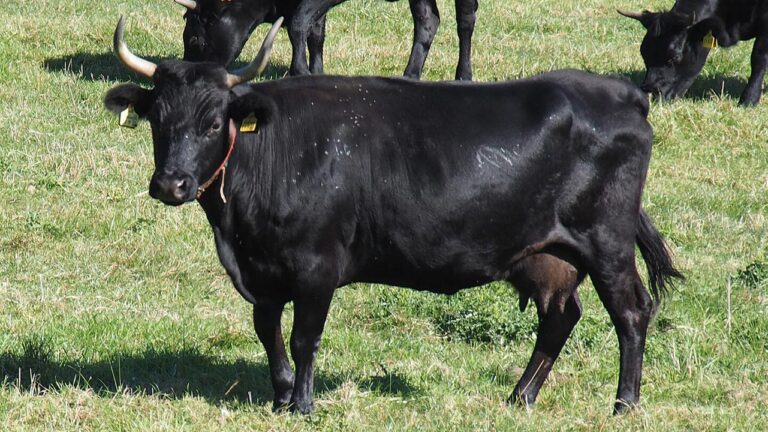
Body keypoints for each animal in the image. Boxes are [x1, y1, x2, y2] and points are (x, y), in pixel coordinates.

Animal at [104, 16, 683, 415]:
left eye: (212, 122)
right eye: (157, 118)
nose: (170, 184)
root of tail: (621, 92)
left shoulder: (317, 267)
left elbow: (304, 336)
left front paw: (303, 405)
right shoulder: (262, 274)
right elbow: (268, 333)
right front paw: (281, 396)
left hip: (607, 241)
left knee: (632, 312)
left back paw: (624, 405)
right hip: (547, 254)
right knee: (560, 316)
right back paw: (521, 396)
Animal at [173, 0, 479, 80]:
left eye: (195, 40)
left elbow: (299, 24)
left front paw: (300, 71)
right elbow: (315, 33)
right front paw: (317, 72)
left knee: (465, 19)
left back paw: (463, 75)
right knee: (427, 20)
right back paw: (410, 75)